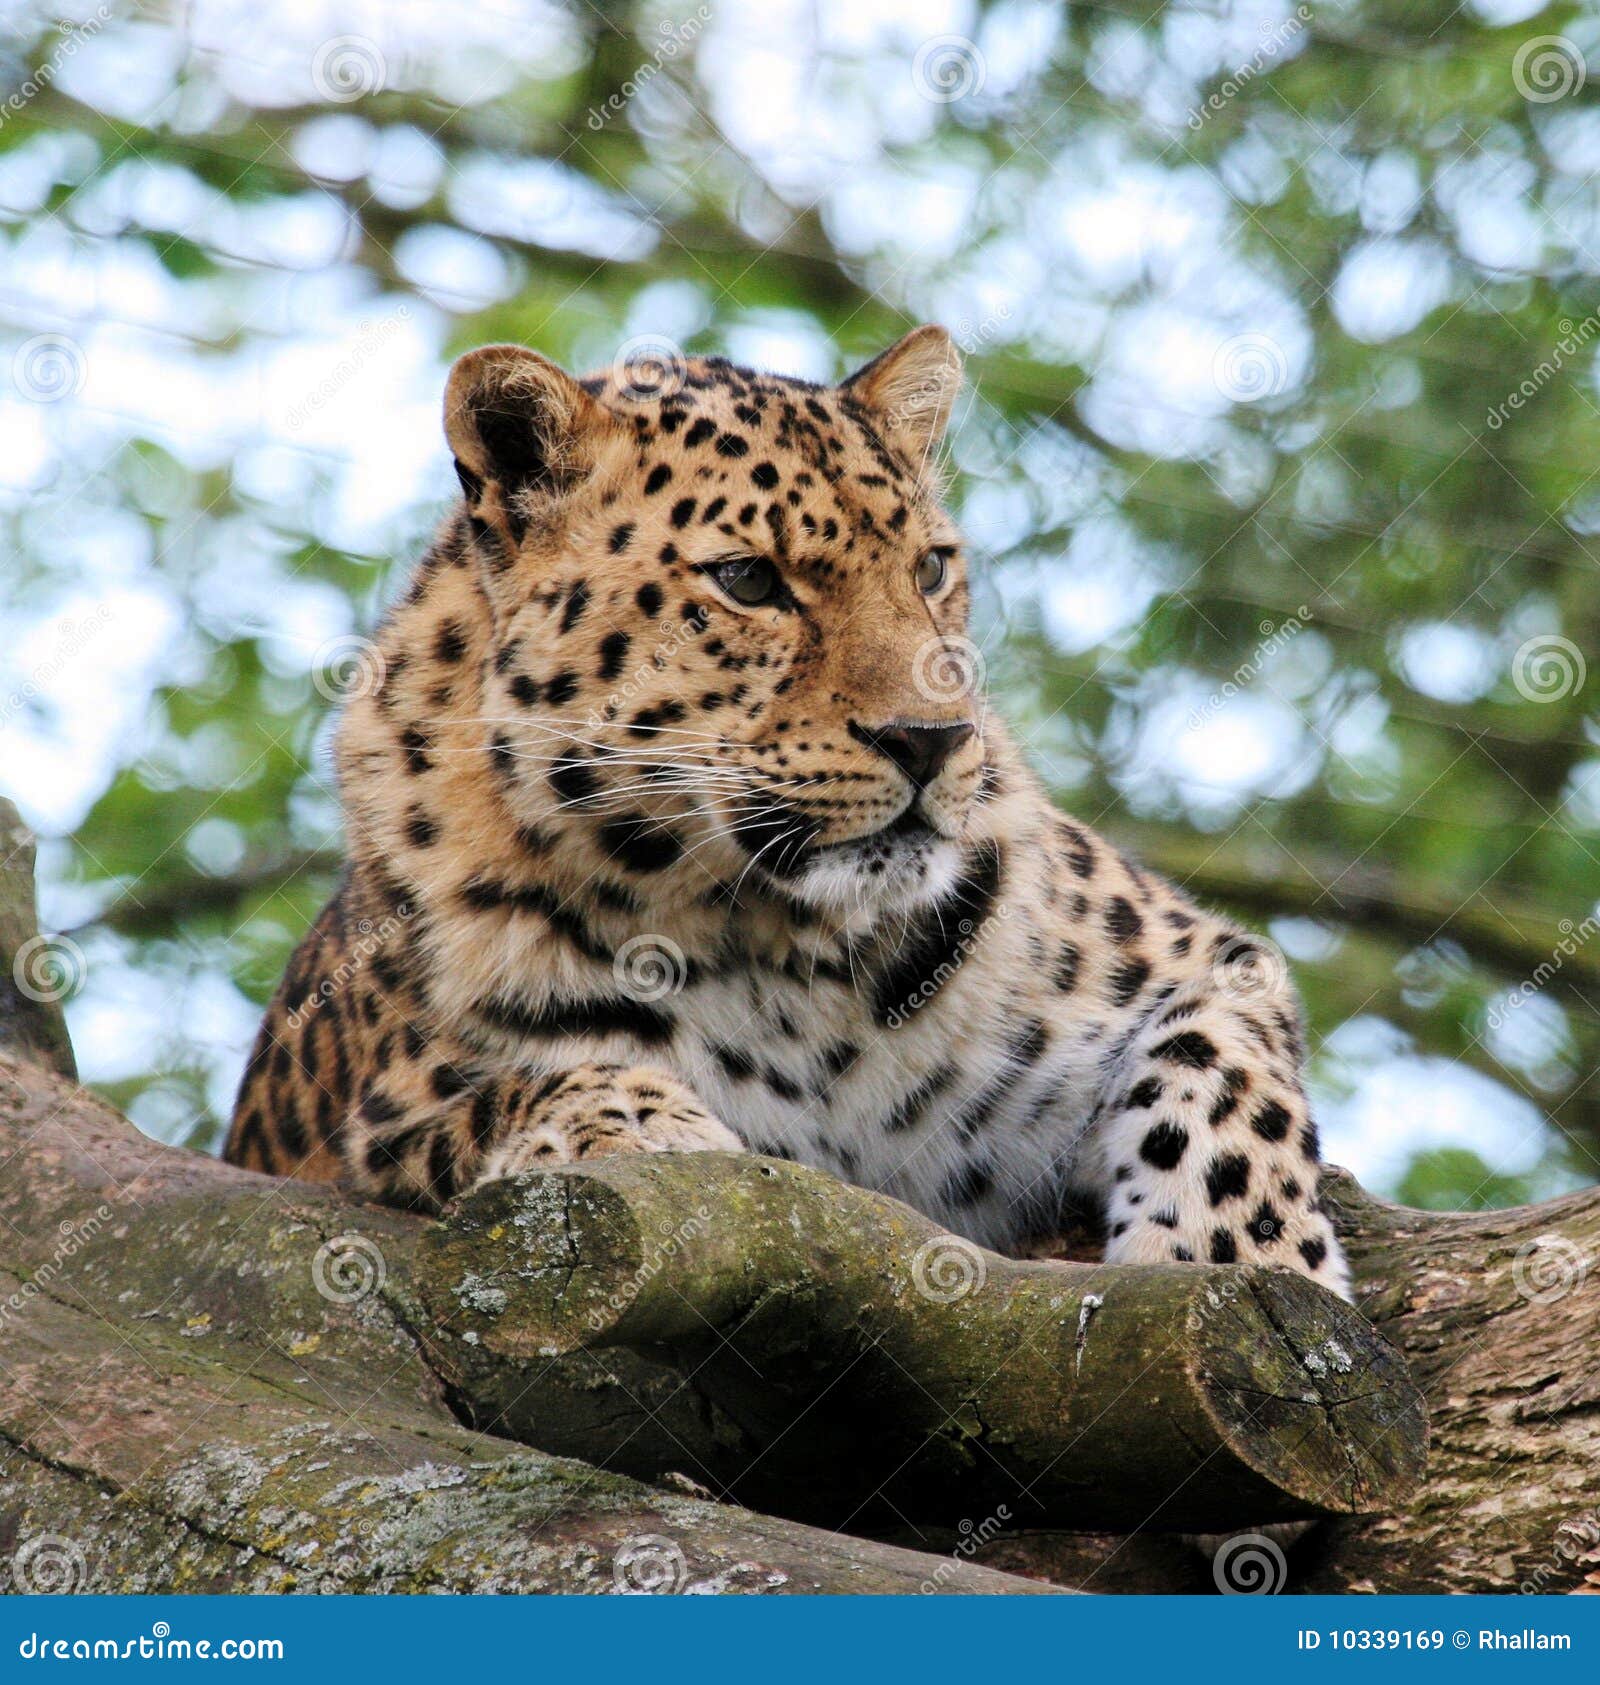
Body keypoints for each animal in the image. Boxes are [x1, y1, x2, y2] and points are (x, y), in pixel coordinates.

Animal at [225, 325, 1349, 1310]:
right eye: (748, 579)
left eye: (930, 568)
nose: (933, 738)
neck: (777, 944)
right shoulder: (365, 1137)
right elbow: (539, 1083)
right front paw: (653, 1129)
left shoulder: (1197, 954)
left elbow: (1220, 1071)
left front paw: (1243, 1256)